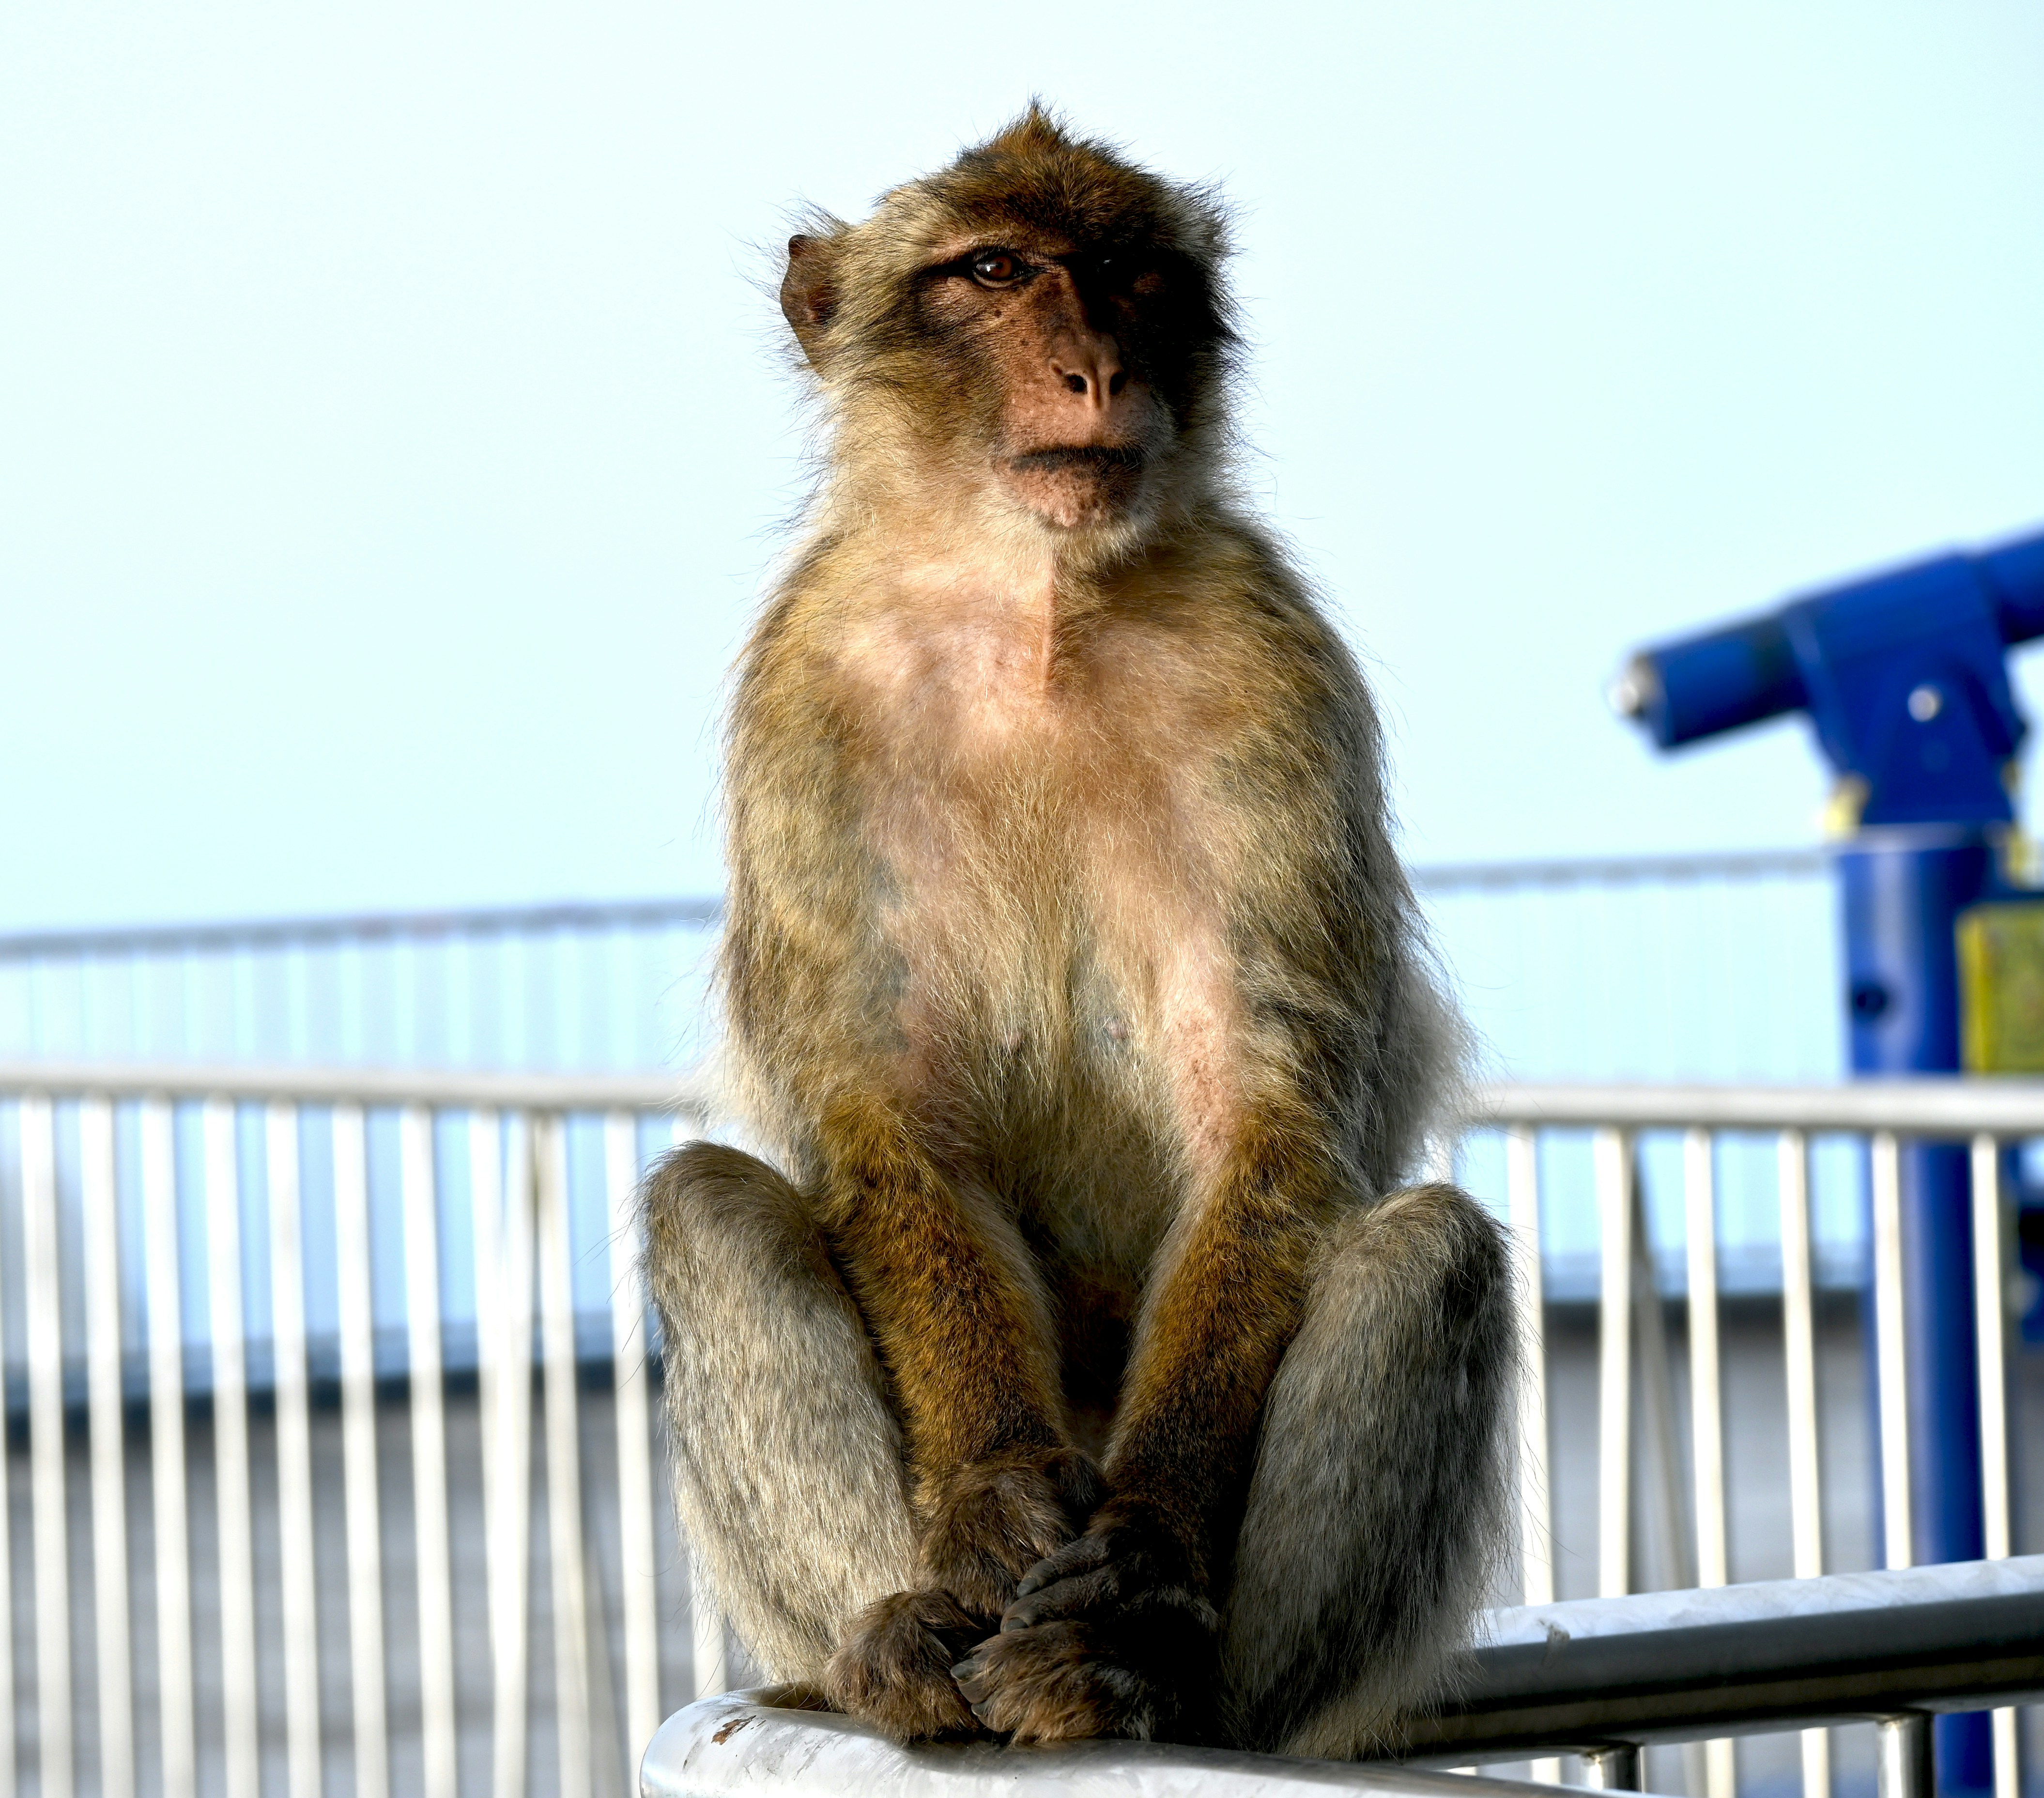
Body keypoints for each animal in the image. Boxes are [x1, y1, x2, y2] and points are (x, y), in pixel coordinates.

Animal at [642, 106, 1514, 1758]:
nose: (1099, 368)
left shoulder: (1271, 669)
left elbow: (1264, 1120)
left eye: (1132, 277)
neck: (1038, 599)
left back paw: (1138, 1668)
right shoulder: (806, 689)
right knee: (706, 1210)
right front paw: (992, 1495)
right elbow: (893, 1117)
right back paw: (901, 1641)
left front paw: (1148, 1550)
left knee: (1427, 1251)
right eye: (995, 273)